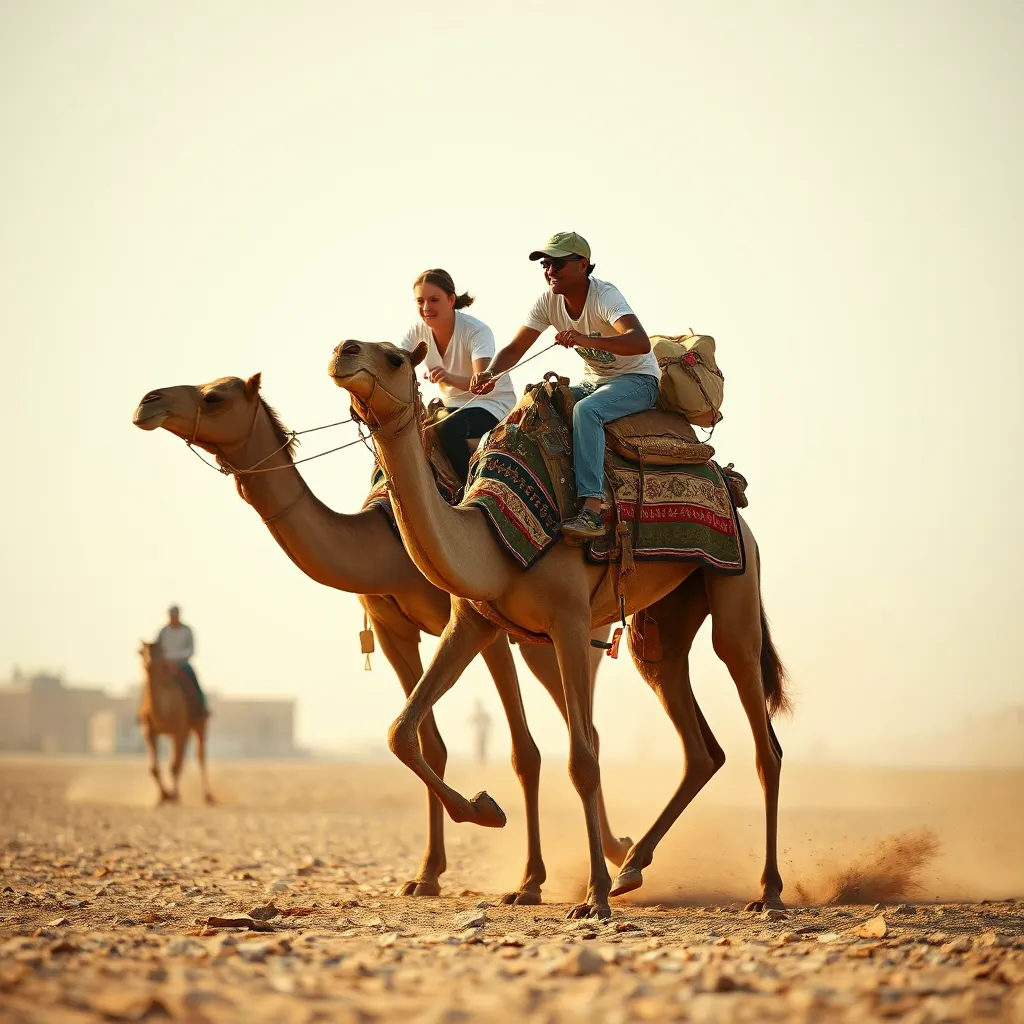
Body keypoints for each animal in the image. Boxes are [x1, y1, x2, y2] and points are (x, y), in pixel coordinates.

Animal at [138, 641, 214, 805]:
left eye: (160, 652)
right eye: (141, 652)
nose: (149, 664)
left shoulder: (179, 730)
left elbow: (174, 765)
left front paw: (173, 797)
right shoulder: (149, 730)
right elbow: (153, 767)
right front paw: (163, 797)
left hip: (199, 725)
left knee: (200, 756)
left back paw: (208, 796)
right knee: (182, 758)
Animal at [329, 339, 791, 920]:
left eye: (392, 357)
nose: (343, 352)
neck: (492, 531)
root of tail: (732, 495)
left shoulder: (569, 621)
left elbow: (583, 760)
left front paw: (592, 898)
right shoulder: (472, 620)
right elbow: (400, 731)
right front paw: (485, 810)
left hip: (736, 582)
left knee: (761, 734)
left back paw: (768, 891)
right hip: (661, 625)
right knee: (698, 741)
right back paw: (632, 866)